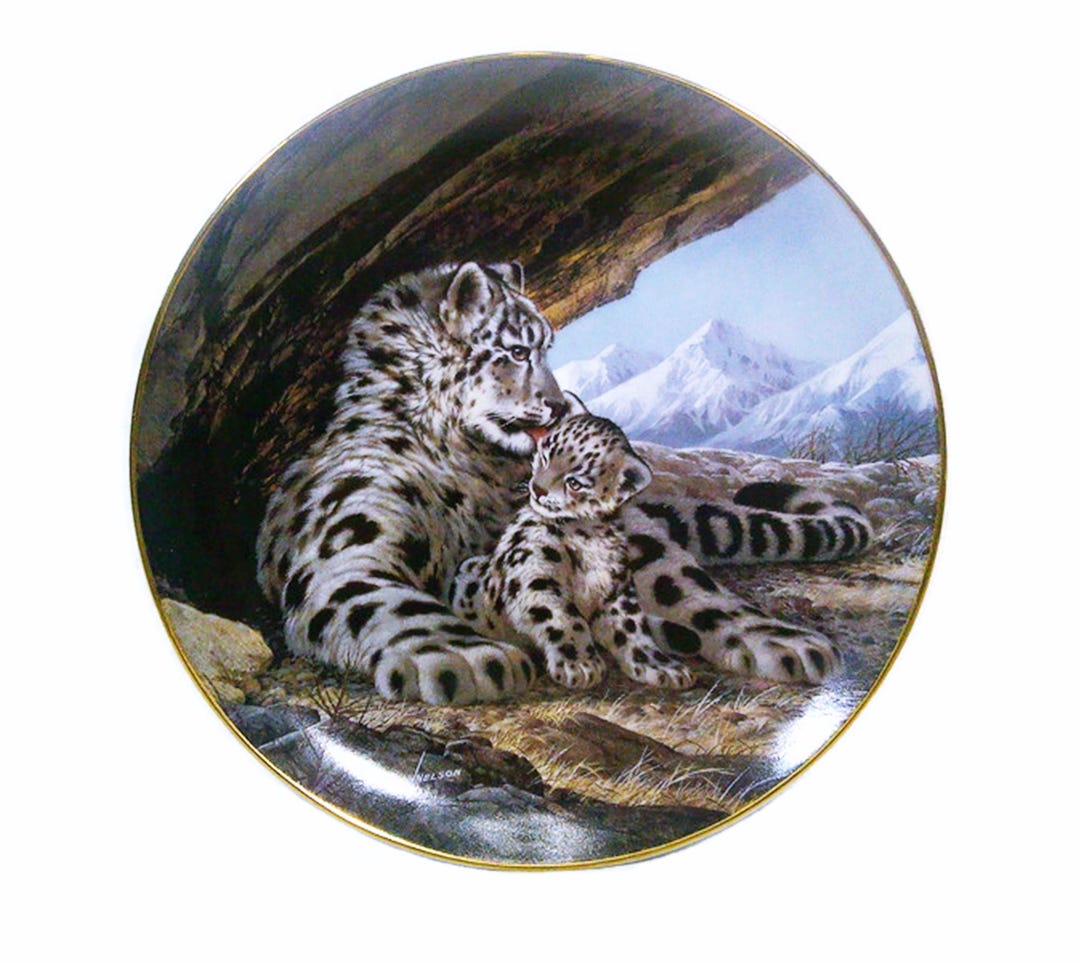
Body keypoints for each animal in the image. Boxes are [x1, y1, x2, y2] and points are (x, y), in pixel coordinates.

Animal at [449, 393, 695, 690]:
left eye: (575, 482)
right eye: (546, 455)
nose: (538, 489)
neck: (587, 534)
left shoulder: (616, 588)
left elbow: (631, 627)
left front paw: (658, 665)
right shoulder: (534, 574)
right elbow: (564, 616)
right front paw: (580, 664)